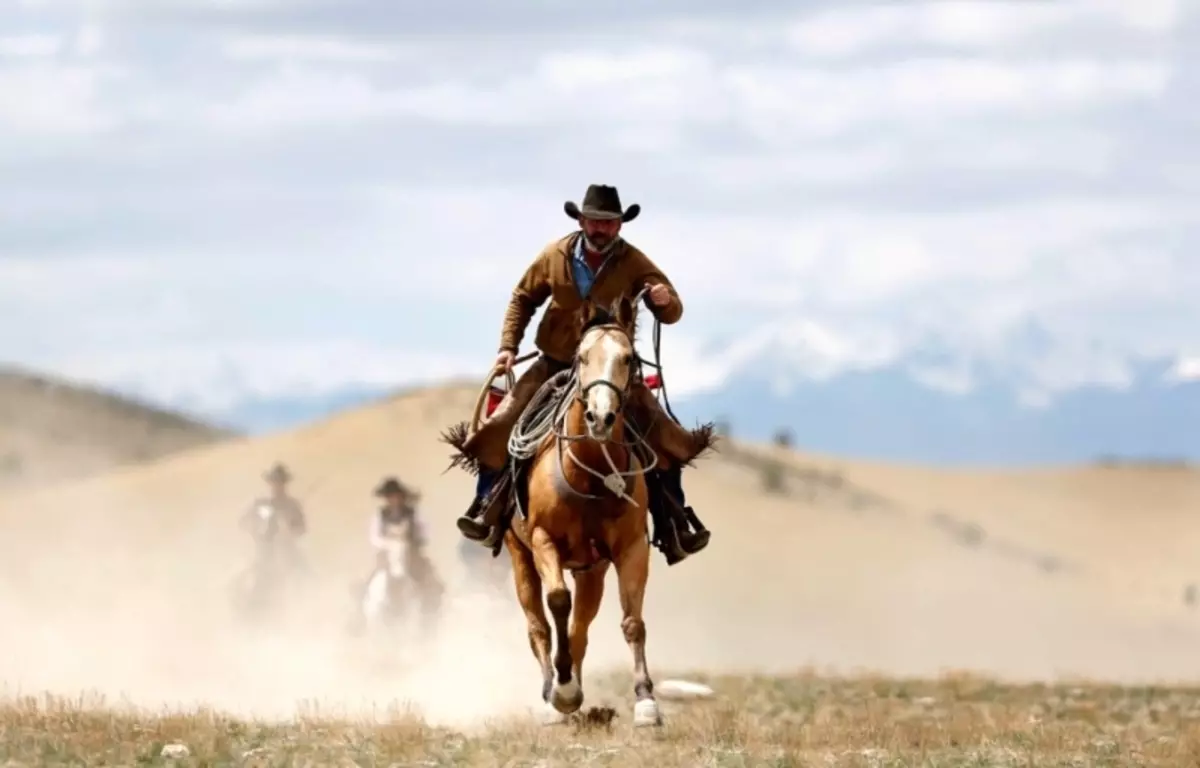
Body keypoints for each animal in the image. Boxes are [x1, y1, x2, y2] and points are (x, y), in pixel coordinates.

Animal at [501, 297, 662, 729]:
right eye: (582, 357)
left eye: (627, 357)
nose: (600, 417)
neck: (590, 476)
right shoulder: (544, 542)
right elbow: (557, 601)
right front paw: (563, 691)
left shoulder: (630, 549)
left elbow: (633, 621)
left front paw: (646, 701)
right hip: (520, 556)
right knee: (539, 625)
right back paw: (553, 694)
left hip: (592, 570)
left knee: (580, 629)